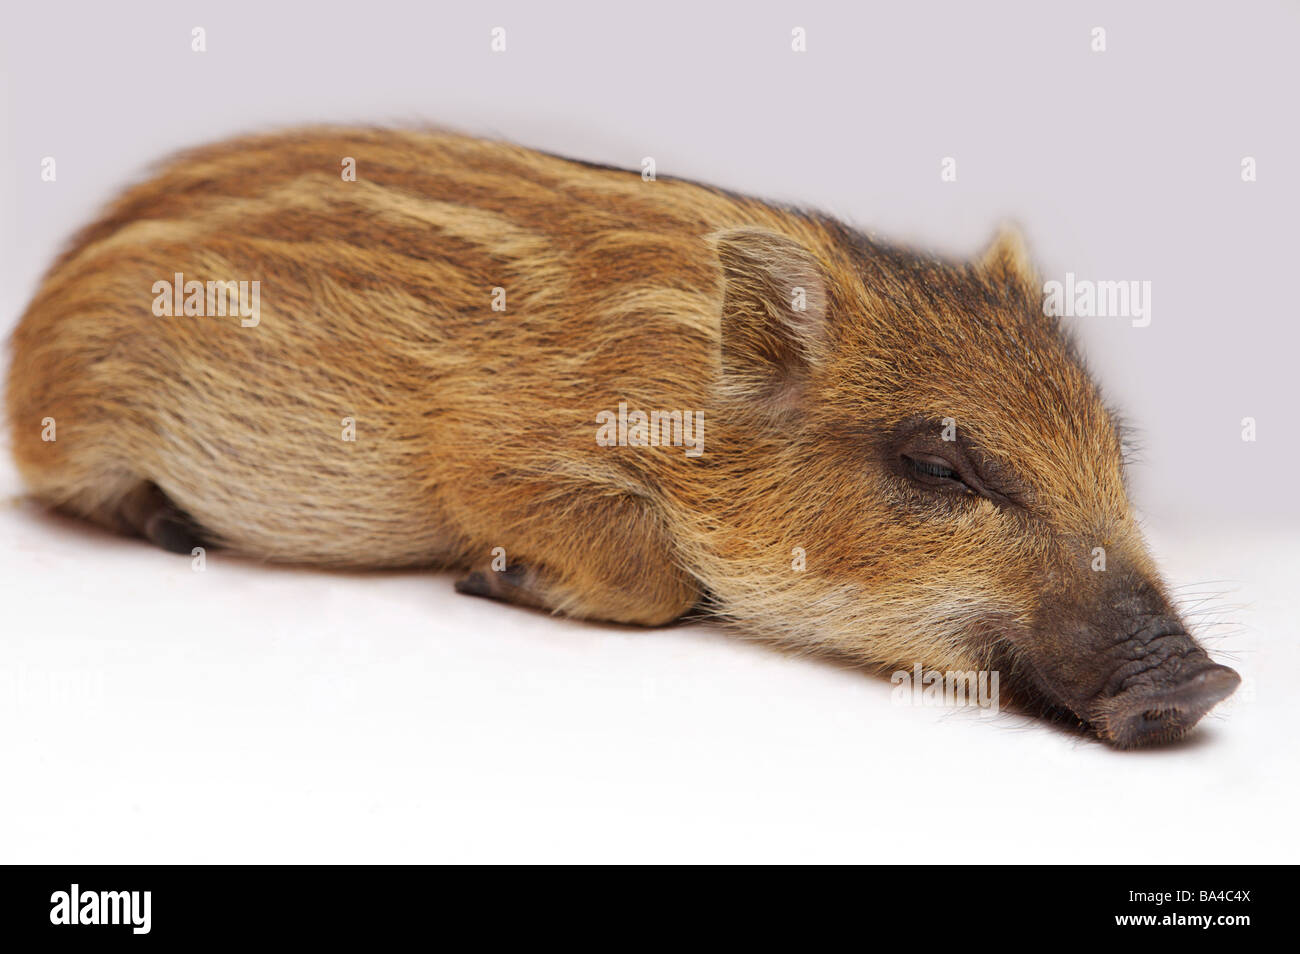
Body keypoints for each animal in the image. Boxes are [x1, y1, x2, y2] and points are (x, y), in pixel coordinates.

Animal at [4, 127, 1239, 747]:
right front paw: (487, 581)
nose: (1200, 684)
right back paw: (173, 527)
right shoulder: (481, 452)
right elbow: (648, 578)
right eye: (937, 464)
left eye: (1113, 453)